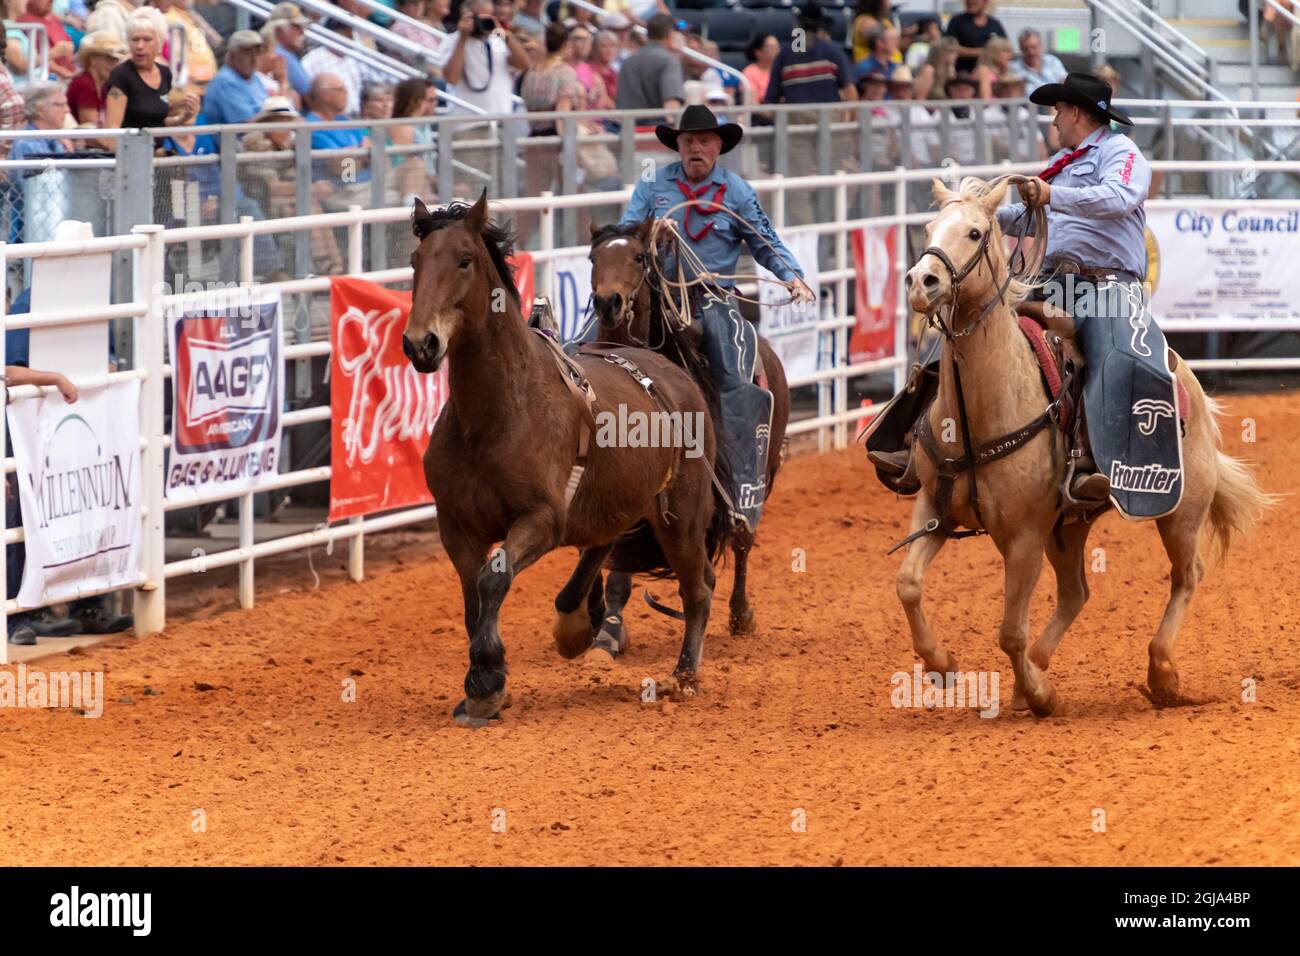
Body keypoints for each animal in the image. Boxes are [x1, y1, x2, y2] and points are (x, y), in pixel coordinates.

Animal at [403, 194, 733, 726]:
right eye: (416, 261)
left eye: (464, 260)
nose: (420, 343)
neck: (498, 411)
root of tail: (672, 373)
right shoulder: (455, 525)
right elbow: (473, 597)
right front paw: (481, 685)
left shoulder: (541, 518)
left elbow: (493, 580)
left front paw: (487, 681)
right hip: (619, 502)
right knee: (604, 543)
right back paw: (577, 620)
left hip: (681, 514)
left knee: (698, 587)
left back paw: (683, 677)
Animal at [584, 217, 791, 654]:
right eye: (593, 258)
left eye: (639, 257)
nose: (608, 302)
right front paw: (608, 629)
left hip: (761, 474)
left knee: (743, 539)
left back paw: (741, 614)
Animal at [897, 176, 1274, 716]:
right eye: (928, 228)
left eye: (974, 232)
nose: (921, 282)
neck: (981, 410)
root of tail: (1187, 379)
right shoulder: (935, 507)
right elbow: (908, 585)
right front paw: (943, 666)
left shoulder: (1025, 535)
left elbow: (1009, 631)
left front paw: (1040, 695)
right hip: (1069, 527)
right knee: (1076, 592)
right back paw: (1035, 672)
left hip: (1181, 510)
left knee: (1187, 575)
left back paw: (1161, 675)